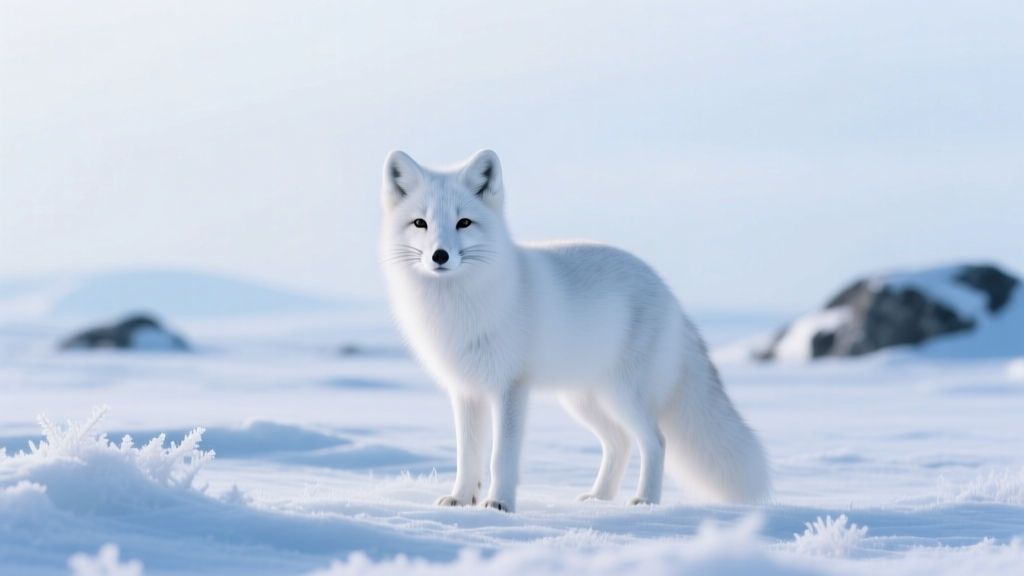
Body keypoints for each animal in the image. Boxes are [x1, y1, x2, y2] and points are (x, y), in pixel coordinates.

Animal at [379, 149, 771, 512]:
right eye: (419, 223)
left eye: (464, 222)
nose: (440, 256)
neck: (456, 305)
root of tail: (671, 296)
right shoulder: (465, 391)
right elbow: (467, 455)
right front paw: (462, 500)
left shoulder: (510, 387)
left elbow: (500, 456)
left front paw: (500, 504)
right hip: (585, 399)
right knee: (619, 443)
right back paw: (599, 497)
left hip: (623, 394)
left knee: (656, 441)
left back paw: (645, 500)